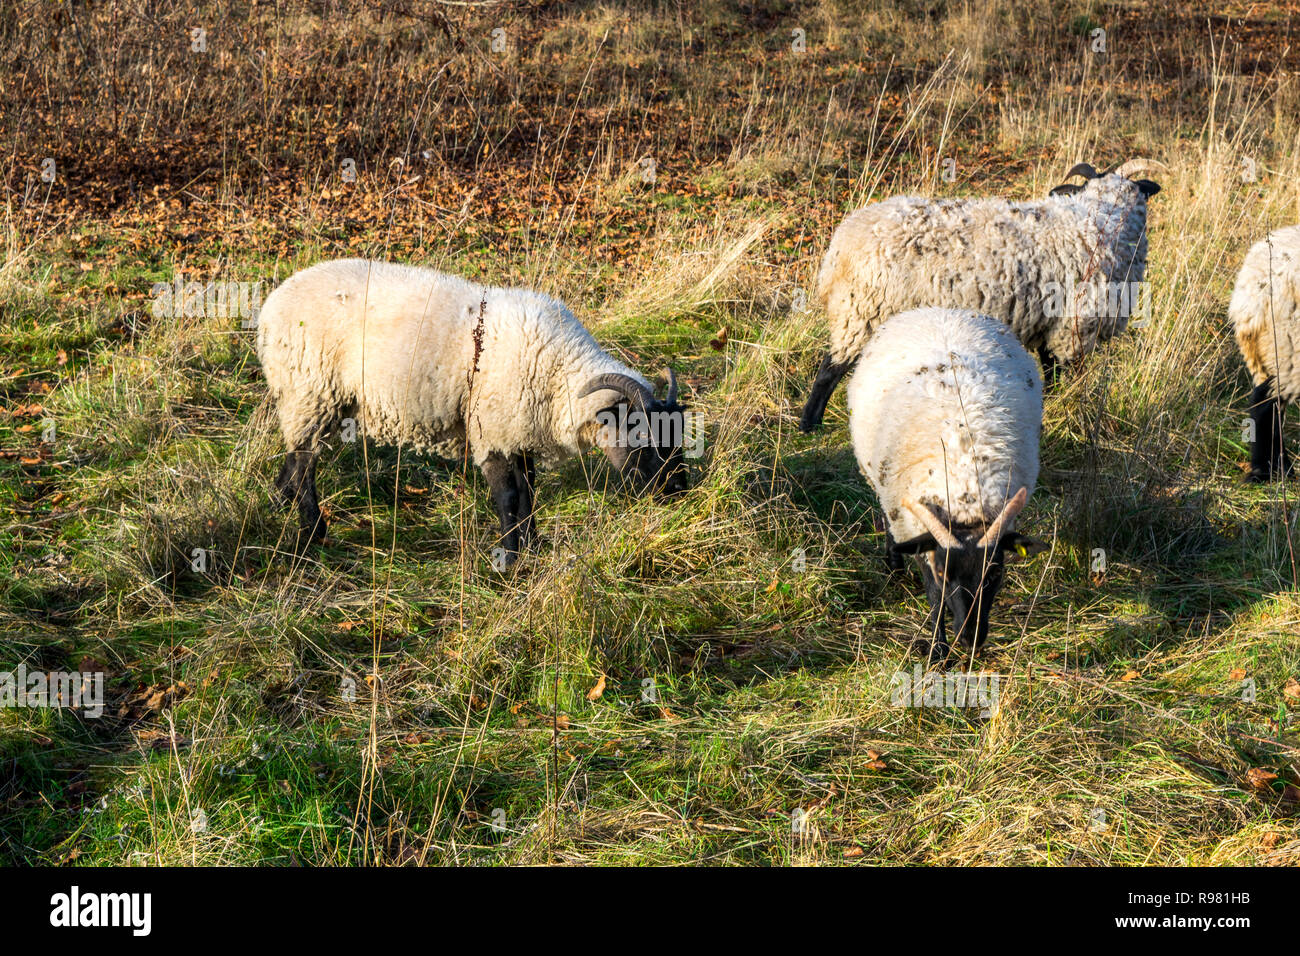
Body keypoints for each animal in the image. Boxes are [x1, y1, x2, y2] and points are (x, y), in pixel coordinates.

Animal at [255, 258, 689, 562]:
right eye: (644, 439)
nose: (678, 494)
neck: (557, 370)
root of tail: (271, 307)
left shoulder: (516, 430)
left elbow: (529, 491)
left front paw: (533, 545)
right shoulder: (492, 431)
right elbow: (509, 496)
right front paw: (510, 557)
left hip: (320, 399)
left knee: (296, 455)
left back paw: (281, 500)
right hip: (311, 391)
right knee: (304, 464)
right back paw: (313, 531)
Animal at [800, 159, 1162, 433]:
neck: (1099, 220)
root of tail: (842, 244)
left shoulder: (1049, 328)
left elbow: (1051, 374)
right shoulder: (1069, 331)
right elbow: (1062, 377)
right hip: (863, 309)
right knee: (830, 369)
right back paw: (809, 425)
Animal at [848, 307, 1048, 660]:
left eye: (995, 573)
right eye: (944, 573)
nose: (970, 640)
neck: (964, 492)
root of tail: (938, 309)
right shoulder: (918, 531)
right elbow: (934, 597)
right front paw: (938, 651)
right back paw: (895, 568)